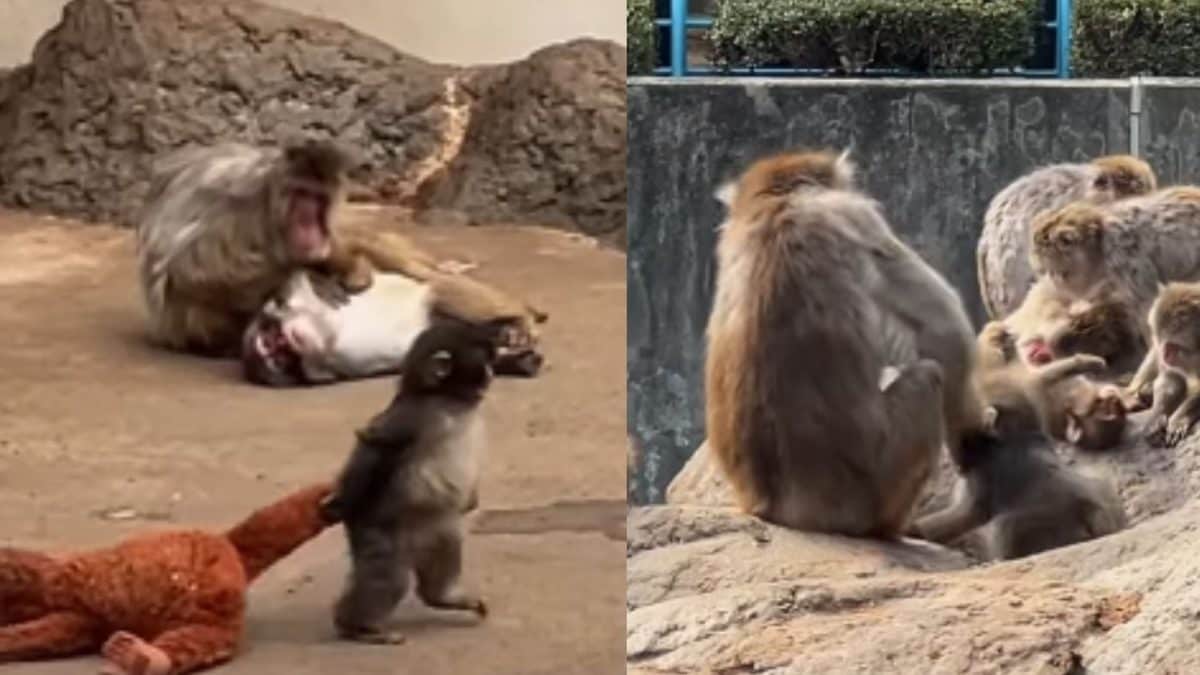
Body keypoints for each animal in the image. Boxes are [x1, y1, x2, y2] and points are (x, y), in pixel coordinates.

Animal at [136, 138, 545, 358]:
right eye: (300, 196)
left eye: (318, 199)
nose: (309, 224)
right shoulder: (236, 201)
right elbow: (188, 265)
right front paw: (325, 267)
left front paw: (342, 263)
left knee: (420, 273)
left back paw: (515, 318)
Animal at [318, 322, 495, 644]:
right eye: (483, 361)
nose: (491, 373)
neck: (449, 403)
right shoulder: (413, 416)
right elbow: (375, 445)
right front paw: (340, 503)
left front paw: (471, 499)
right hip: (382, 533)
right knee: (389, 576)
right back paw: (359, 627)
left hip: (438, 530)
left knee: (442, 558)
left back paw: (445, 597)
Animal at [704, 149, 982, 538]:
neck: (781, 199)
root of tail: (790, 509)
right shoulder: (860, 218)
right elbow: (944, 334)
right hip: (877, 491)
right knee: (928, 375)